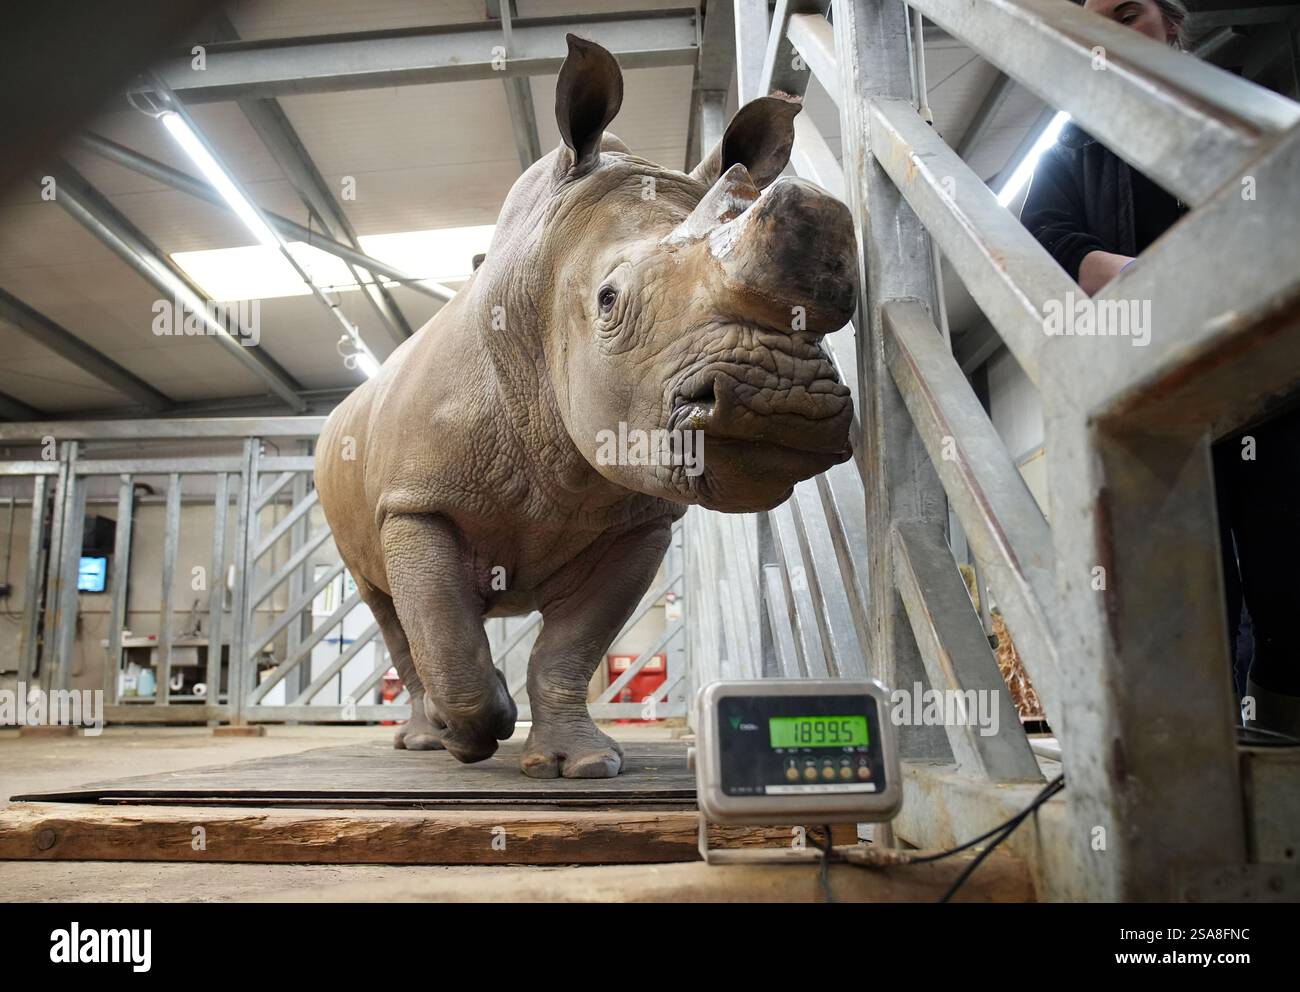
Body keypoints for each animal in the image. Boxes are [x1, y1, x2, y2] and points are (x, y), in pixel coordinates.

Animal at [315, 36, 857, 778]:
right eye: (608, 300)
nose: (786, 401)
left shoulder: (639, 523)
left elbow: (568, 649)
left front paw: (582, 764)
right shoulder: (416, 502)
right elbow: (445, 638)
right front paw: (477, 731)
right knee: (387, 607)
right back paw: (427, 739)